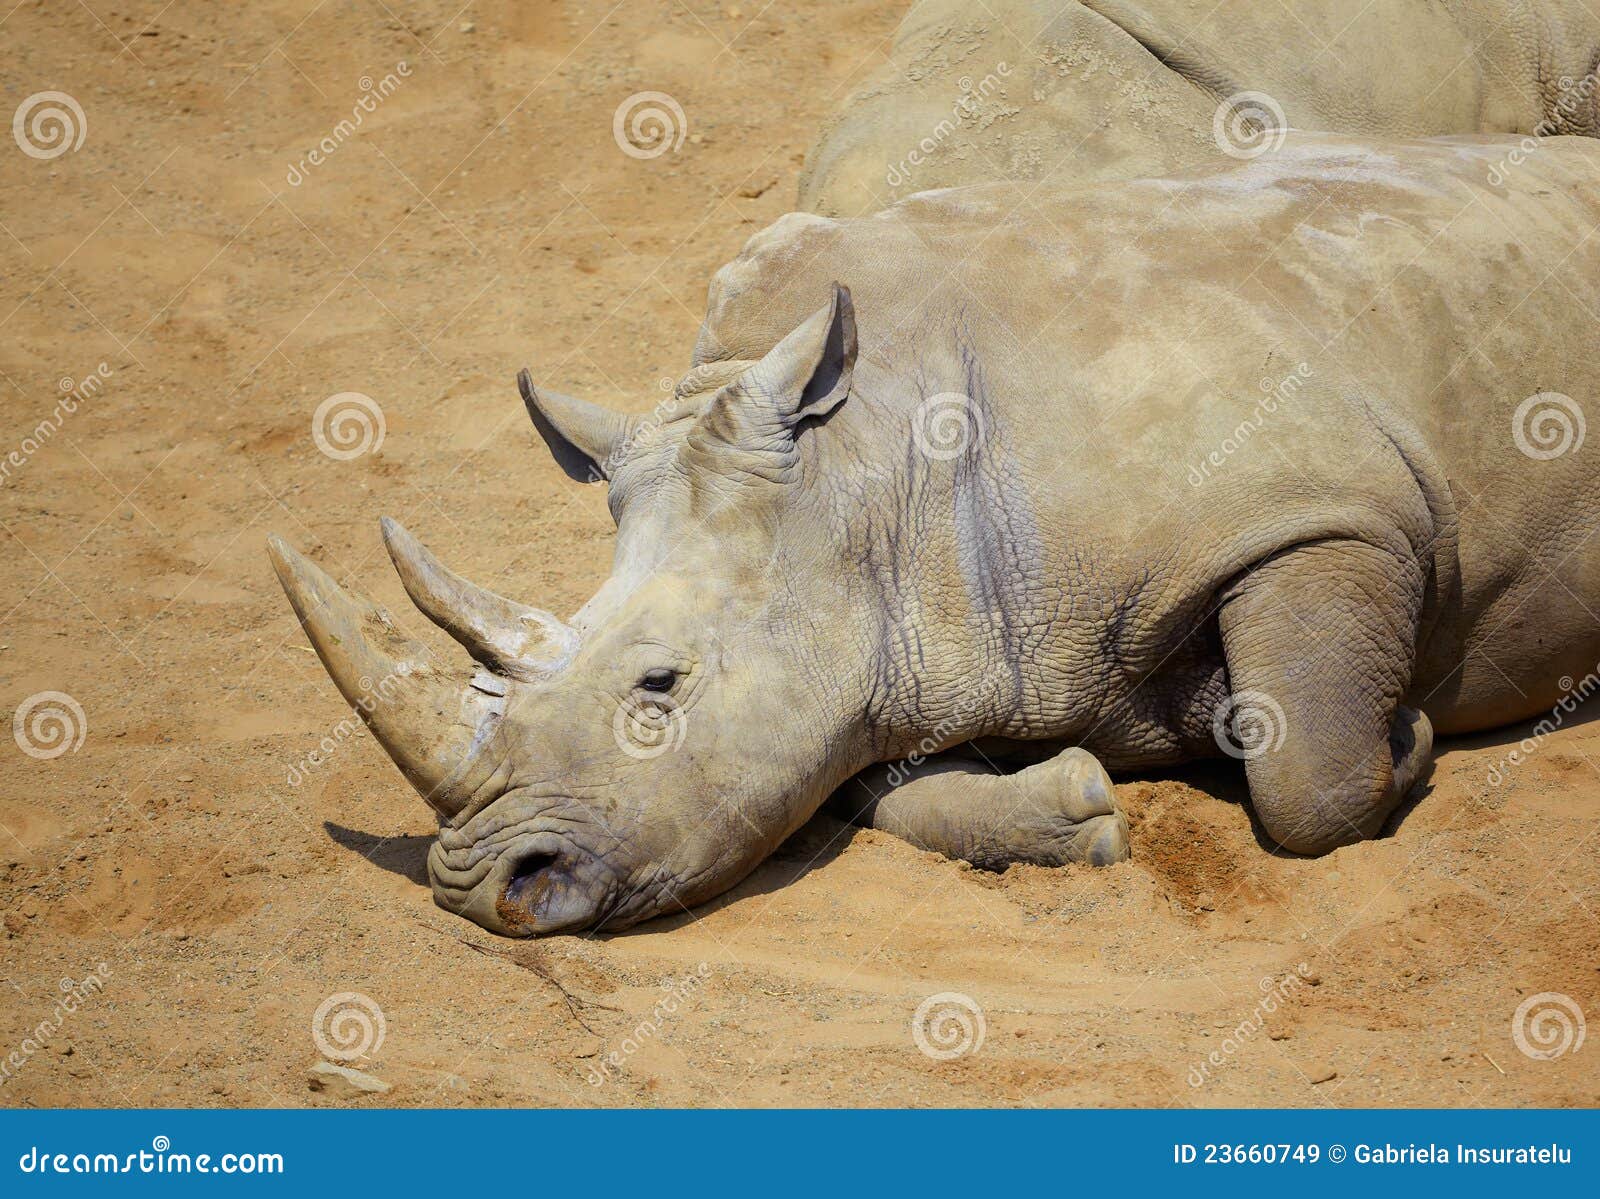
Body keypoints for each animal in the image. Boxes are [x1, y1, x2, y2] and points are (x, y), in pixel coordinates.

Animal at [271, 130, 1600, 935]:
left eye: (660, 683)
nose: (477, 886)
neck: (868, 473)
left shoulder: (1323, 515)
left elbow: (1305, 776)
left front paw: (1406, 736)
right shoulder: (898, 643)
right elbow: (866, 780)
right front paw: (1081, 799)